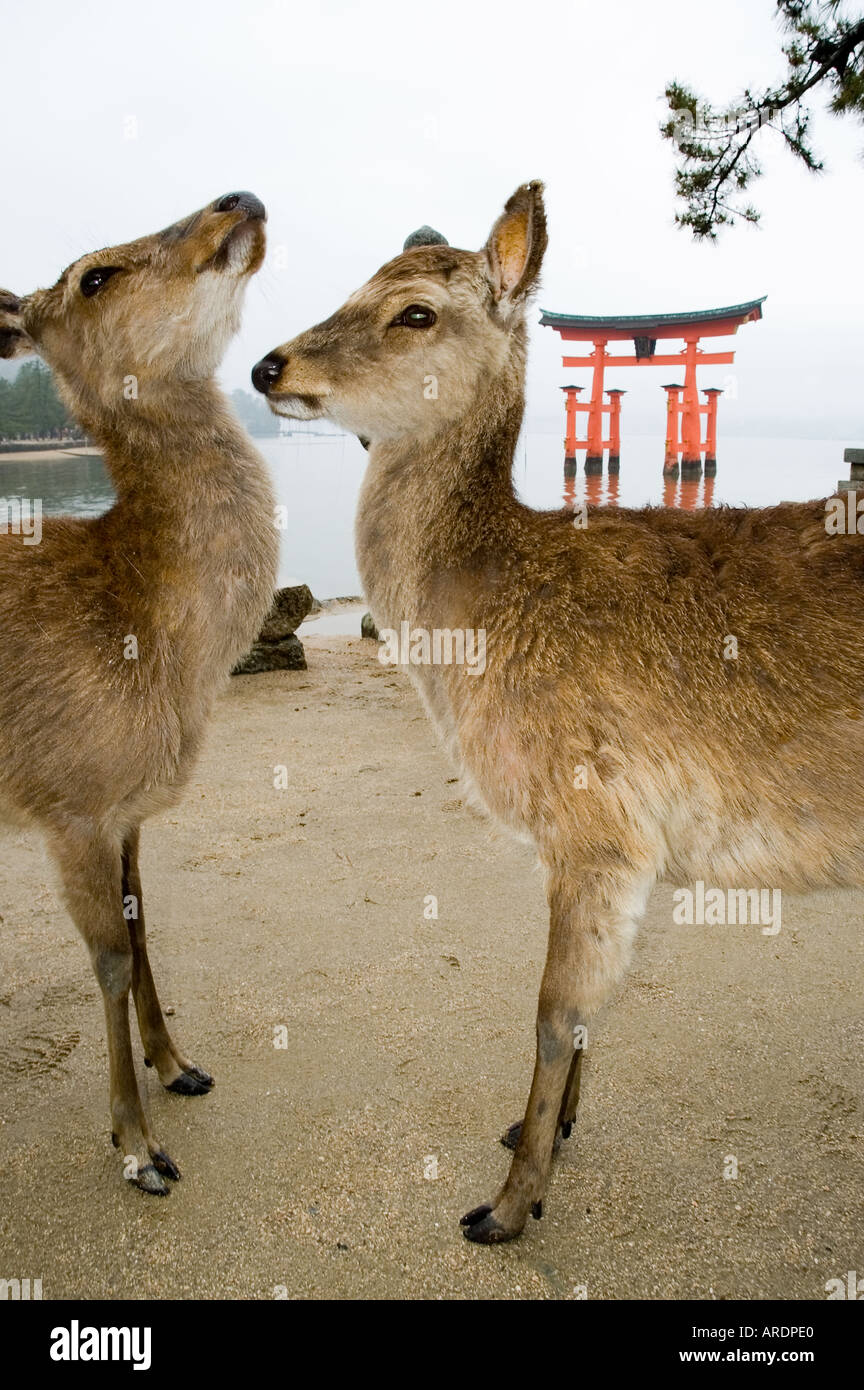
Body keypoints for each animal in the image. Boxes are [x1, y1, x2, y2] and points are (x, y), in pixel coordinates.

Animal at [0, 191, 279, 1195]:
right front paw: (137, 1146)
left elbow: (146, 926)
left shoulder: (128, 813)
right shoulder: (69, 804)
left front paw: (180, 1065)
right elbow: (110, 961)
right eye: (95, 276)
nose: (238, 200)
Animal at [252, 180, 864, 1244]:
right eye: (357, 281)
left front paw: (507, 1204)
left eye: (414, 311)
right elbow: (585, 1013)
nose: (267, 364)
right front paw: (542, 1132)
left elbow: (549, 1009)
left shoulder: (599, 821)